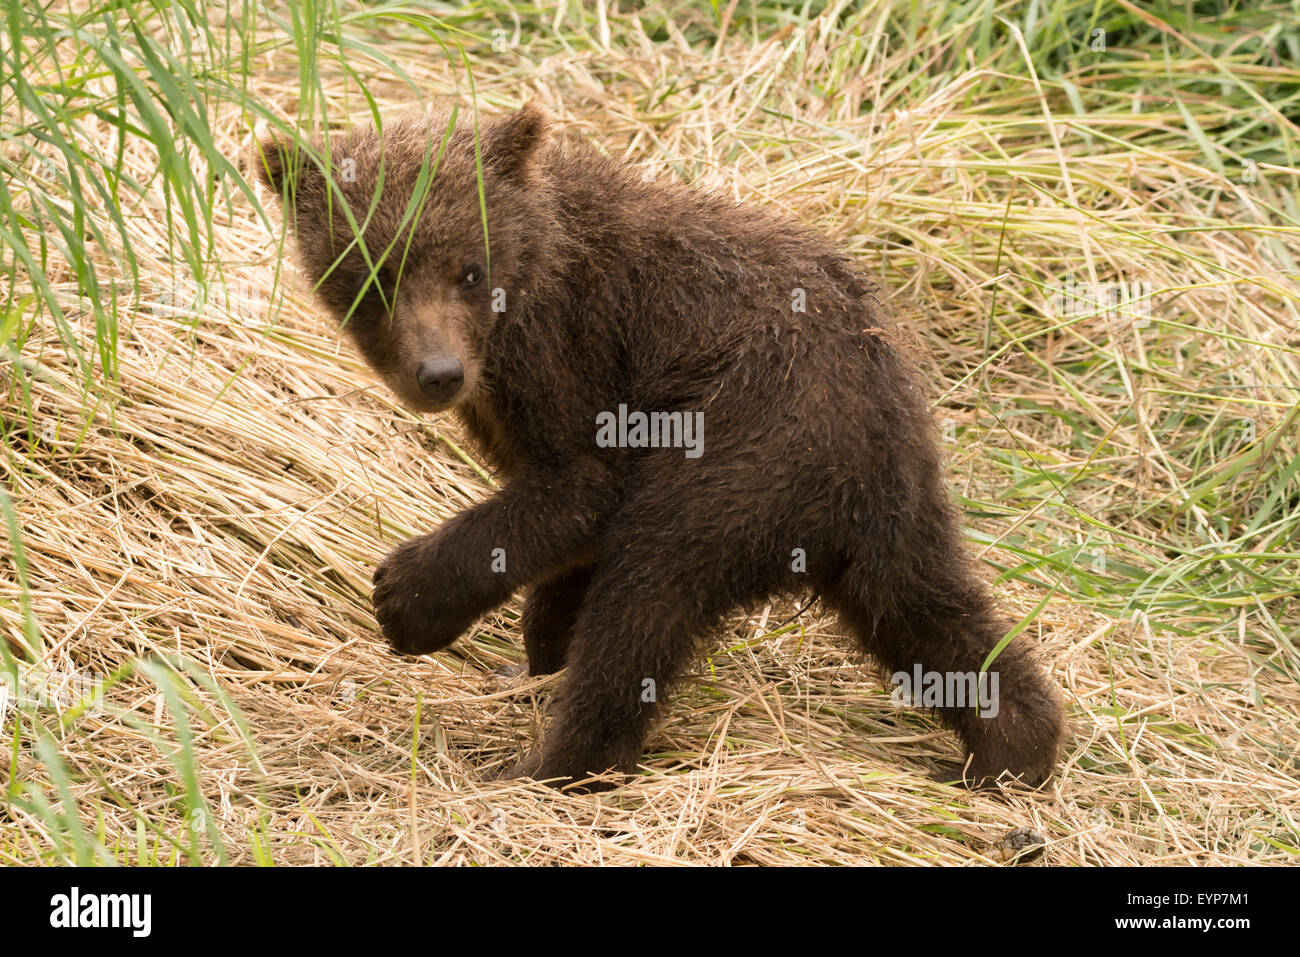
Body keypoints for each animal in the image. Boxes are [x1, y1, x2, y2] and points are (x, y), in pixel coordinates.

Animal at [255, 101, 1066, 790]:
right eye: (372, 276)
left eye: (468, 268)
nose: (438, 372)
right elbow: (563, 549)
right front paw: (533, 660)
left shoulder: (574, 354)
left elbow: (578, 490)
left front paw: (407, 596)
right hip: (892, 497)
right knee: (928, 607)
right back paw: (1013, 747)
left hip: (744, 448)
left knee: (646, 594)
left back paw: (549, 765)